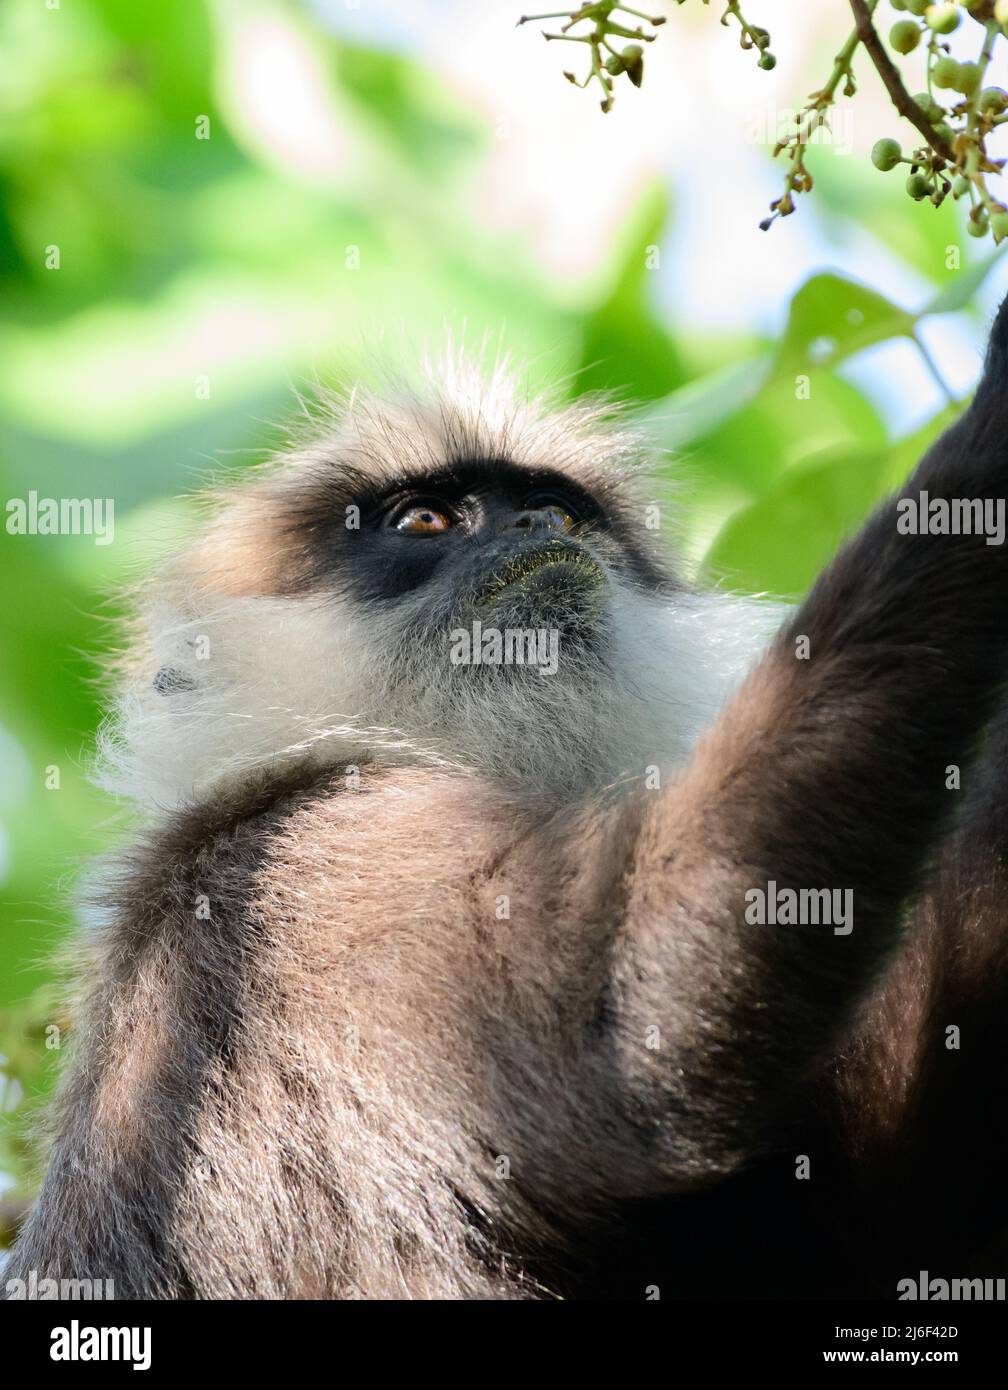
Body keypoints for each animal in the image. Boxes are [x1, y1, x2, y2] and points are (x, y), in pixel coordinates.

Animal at [6, 304, 1008, 1302]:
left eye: (558, 511)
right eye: (426, 518)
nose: (531, 524)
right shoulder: (298, 857)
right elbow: (630, 1037)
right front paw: (981, 451)